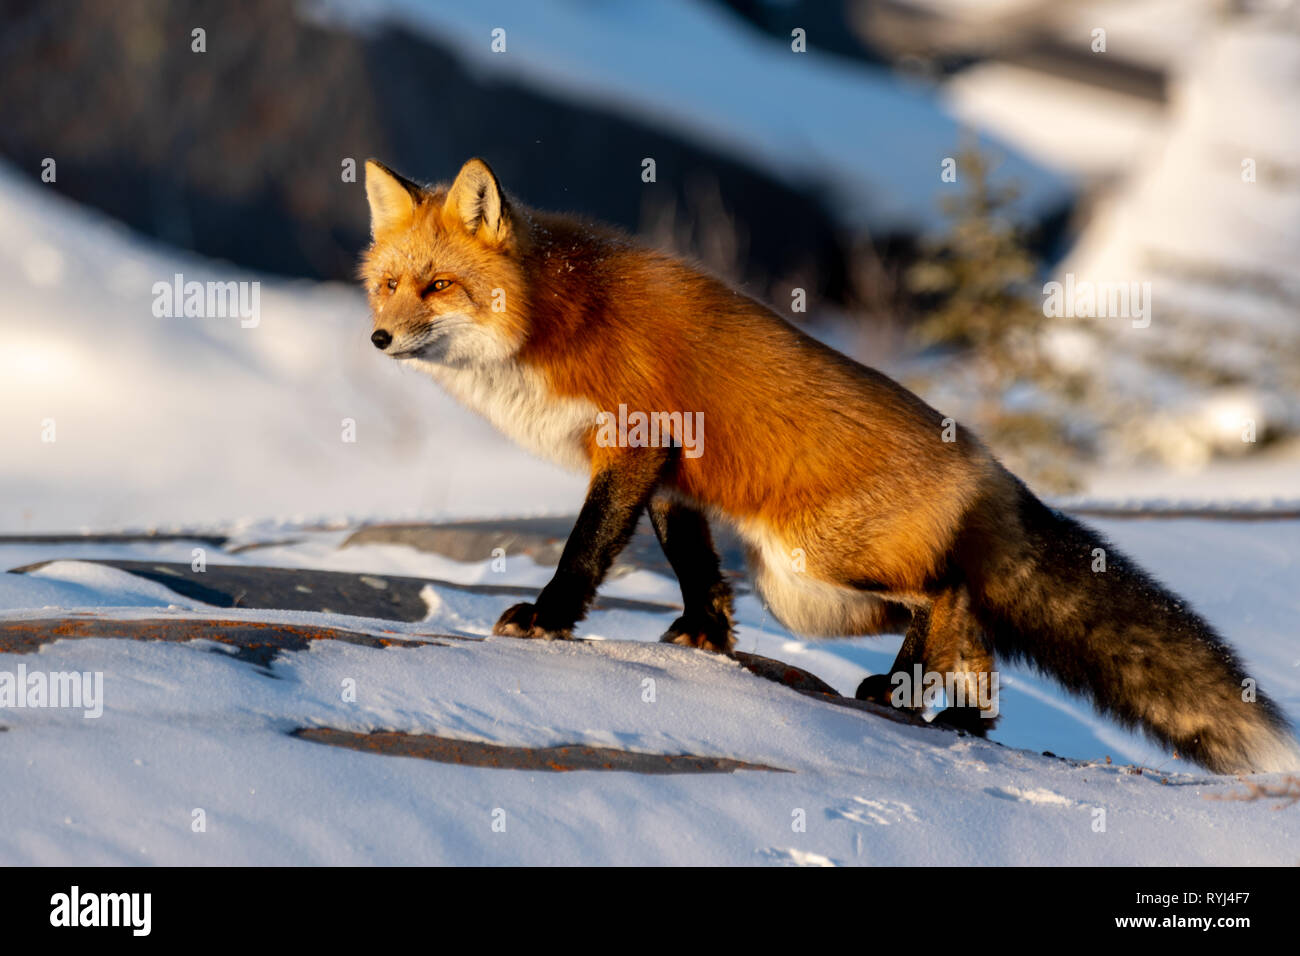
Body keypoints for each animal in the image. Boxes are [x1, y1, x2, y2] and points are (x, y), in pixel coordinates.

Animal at [359, 156, 1300, 775]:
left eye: (438, 286)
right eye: (387, 285)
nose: (375, 339)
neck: (557, 317)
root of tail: (989, 464)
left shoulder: (632, 441)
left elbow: (586, 548)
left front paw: (548, 619)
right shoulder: (671, 473)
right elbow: (695, 566)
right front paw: (706, 639)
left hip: (815, 564)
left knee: (948, 595)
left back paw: (910, 692)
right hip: (804, 592)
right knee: (971, 623)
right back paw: (962, 720)